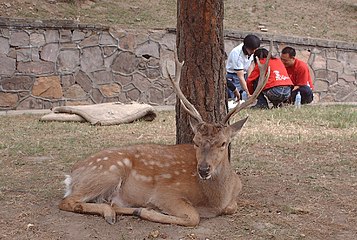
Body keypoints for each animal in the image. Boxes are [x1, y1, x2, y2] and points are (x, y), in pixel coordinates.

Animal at [58, 41, 272, 227]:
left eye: (223, 143)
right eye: (195, 141)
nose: (203, 170)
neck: (217, 198)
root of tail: (71, 175)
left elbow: (231, 207)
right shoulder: (166, 192)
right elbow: (193, 217)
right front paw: (147, 210)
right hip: (108, 171)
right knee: (67, 201)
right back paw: (115, 213)